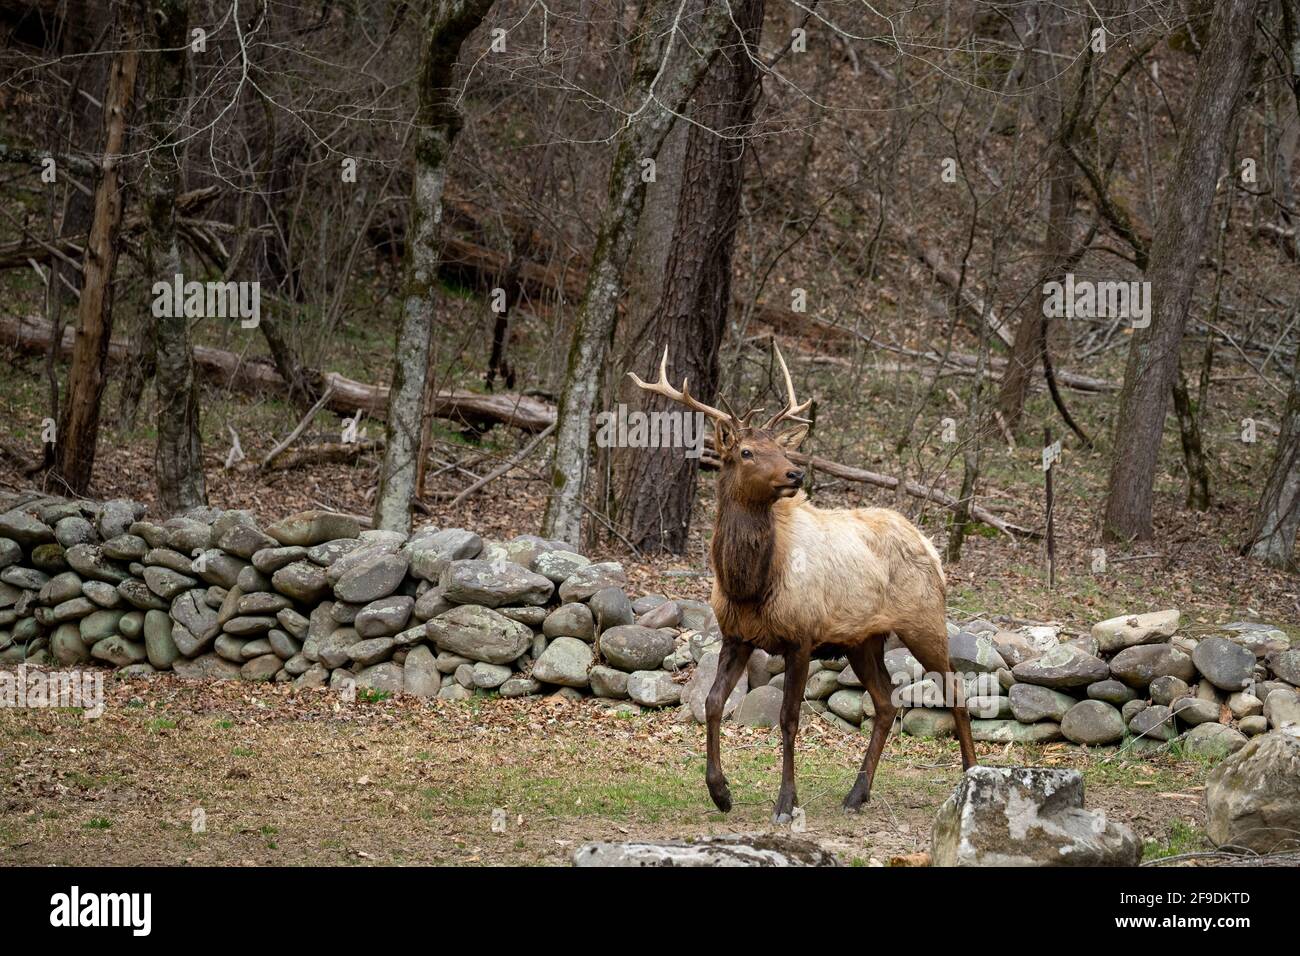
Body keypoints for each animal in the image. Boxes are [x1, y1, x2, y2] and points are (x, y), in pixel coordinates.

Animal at [629, 343, 977, 823]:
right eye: (747, 451)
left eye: (780, 446)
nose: (795, 474)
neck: (749, 585)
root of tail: (932, 549)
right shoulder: (736, 636)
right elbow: (712, 703)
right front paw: (720, 792)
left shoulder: (802, 637)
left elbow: (789, 718)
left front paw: (785, 803)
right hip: (862, 640)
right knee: (887, 701)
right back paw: (857, 793)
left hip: (924, 621)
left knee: (956, 690)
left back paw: (971, 774)